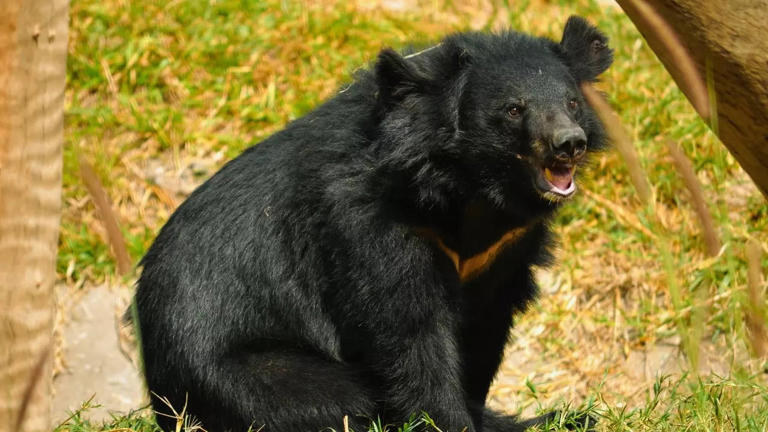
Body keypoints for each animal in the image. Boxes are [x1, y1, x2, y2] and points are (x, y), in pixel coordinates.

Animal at [134, 15, 613, 432]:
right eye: (514, 109)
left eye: (572, 102)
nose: (568, 143)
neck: (470, 189)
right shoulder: (373, 223)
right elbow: (410, 334)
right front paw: (449, 421)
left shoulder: (504, 251)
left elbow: (484, 328)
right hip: (242, 373)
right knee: (333, 400)